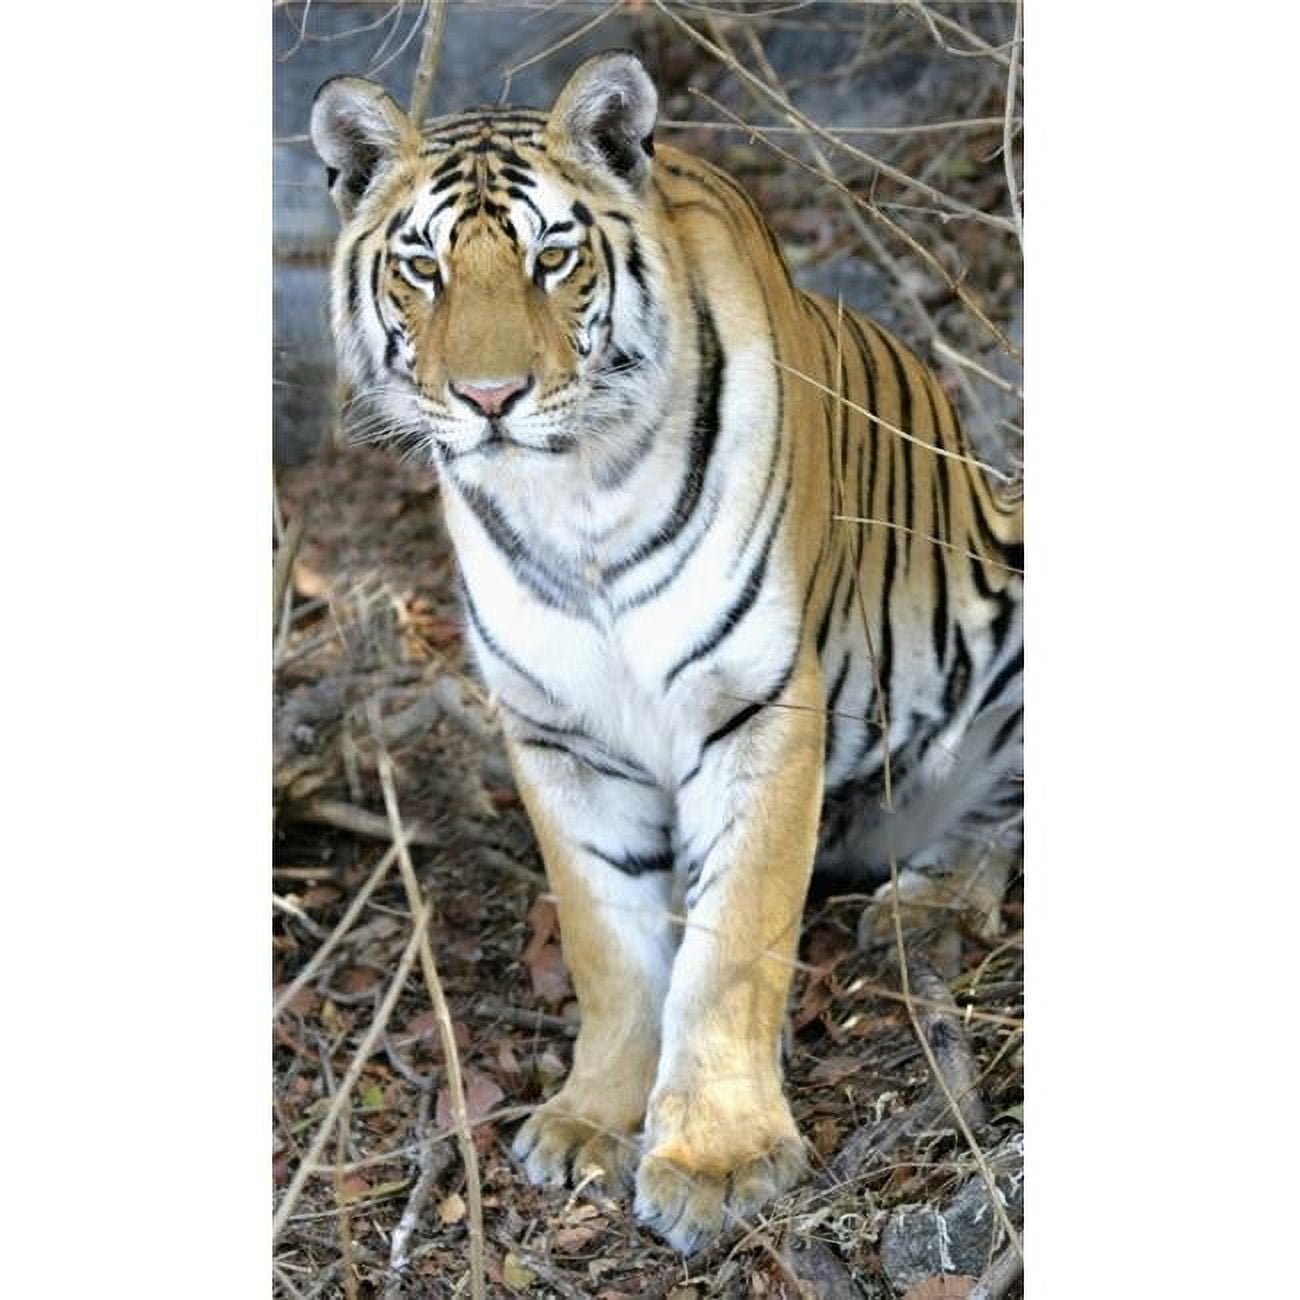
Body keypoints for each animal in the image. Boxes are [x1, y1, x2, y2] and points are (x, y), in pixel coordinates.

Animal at [310, 49, 1023, 1254]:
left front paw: (719, 1158)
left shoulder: (757, 703)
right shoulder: (557, 729)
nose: (489, 399)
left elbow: (731, 945)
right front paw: (594, 1120)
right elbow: (610, 940)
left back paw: (926, 902)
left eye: (552, 256)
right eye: (423, 267)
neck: (572, 499)